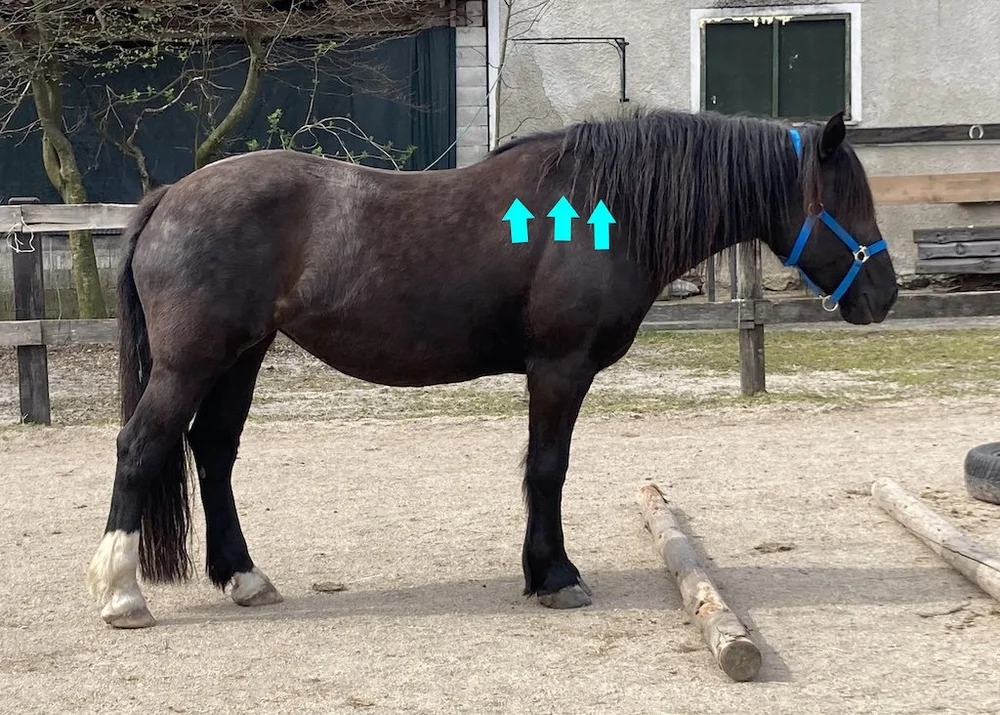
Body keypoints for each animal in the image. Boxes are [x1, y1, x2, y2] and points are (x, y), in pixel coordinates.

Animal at [85, 107, 898, 628]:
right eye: (848, 200)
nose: (885, 294)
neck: (604, 209)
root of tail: (170, 196)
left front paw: (544, 573)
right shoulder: (561, 368)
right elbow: (547, 469)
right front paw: (556, 577)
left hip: (241, 357)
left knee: (213, 449)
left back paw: (244, 578)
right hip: (193, 362)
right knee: (140, 447)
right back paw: (123, 596)